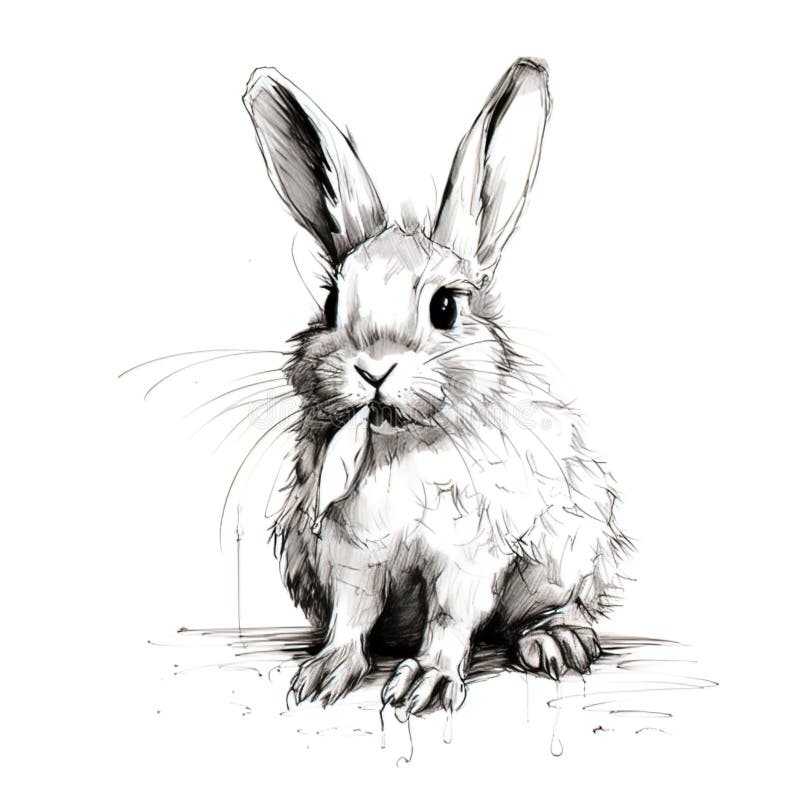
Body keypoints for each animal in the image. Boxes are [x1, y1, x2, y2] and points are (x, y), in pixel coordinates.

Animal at [242, 57, 632, 715]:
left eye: (445, 307)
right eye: (331, 303)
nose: (373, 369)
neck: (400, 445)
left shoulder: (467, 555)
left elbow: (451, 616)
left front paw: (424, 684)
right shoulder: (351, 556)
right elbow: (352, 615)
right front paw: (323, 676)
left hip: (567, 551)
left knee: (562, 604)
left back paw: (555, 641)